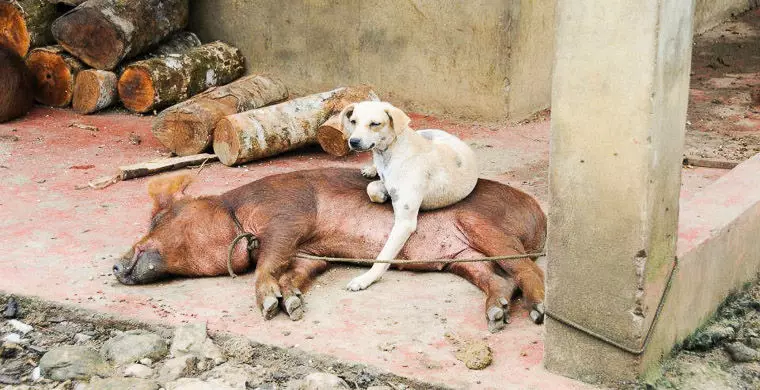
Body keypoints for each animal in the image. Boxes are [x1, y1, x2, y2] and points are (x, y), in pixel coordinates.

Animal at [114, 168, 548, 332]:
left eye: (157, 220)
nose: (115, 266)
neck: (238, 216)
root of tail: (539, 214)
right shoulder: (311, 254)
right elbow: (293, 271)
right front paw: (291, 305)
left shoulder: (287, 215)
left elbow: (268, 262)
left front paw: (269, 307)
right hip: (461, 257)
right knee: (500, 280)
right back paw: (496, 316)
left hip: (484, 224)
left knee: (530, 270)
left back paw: (540, 312)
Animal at [342, 100, 478, 290]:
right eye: (353, 121)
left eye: (375, 124)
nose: (353, 141)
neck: (390, 153)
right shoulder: (386, 182)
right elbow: (372, 188)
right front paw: (380, 190)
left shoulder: (404, 223)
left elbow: (383, 256)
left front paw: (366, 279)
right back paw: (371, 169)